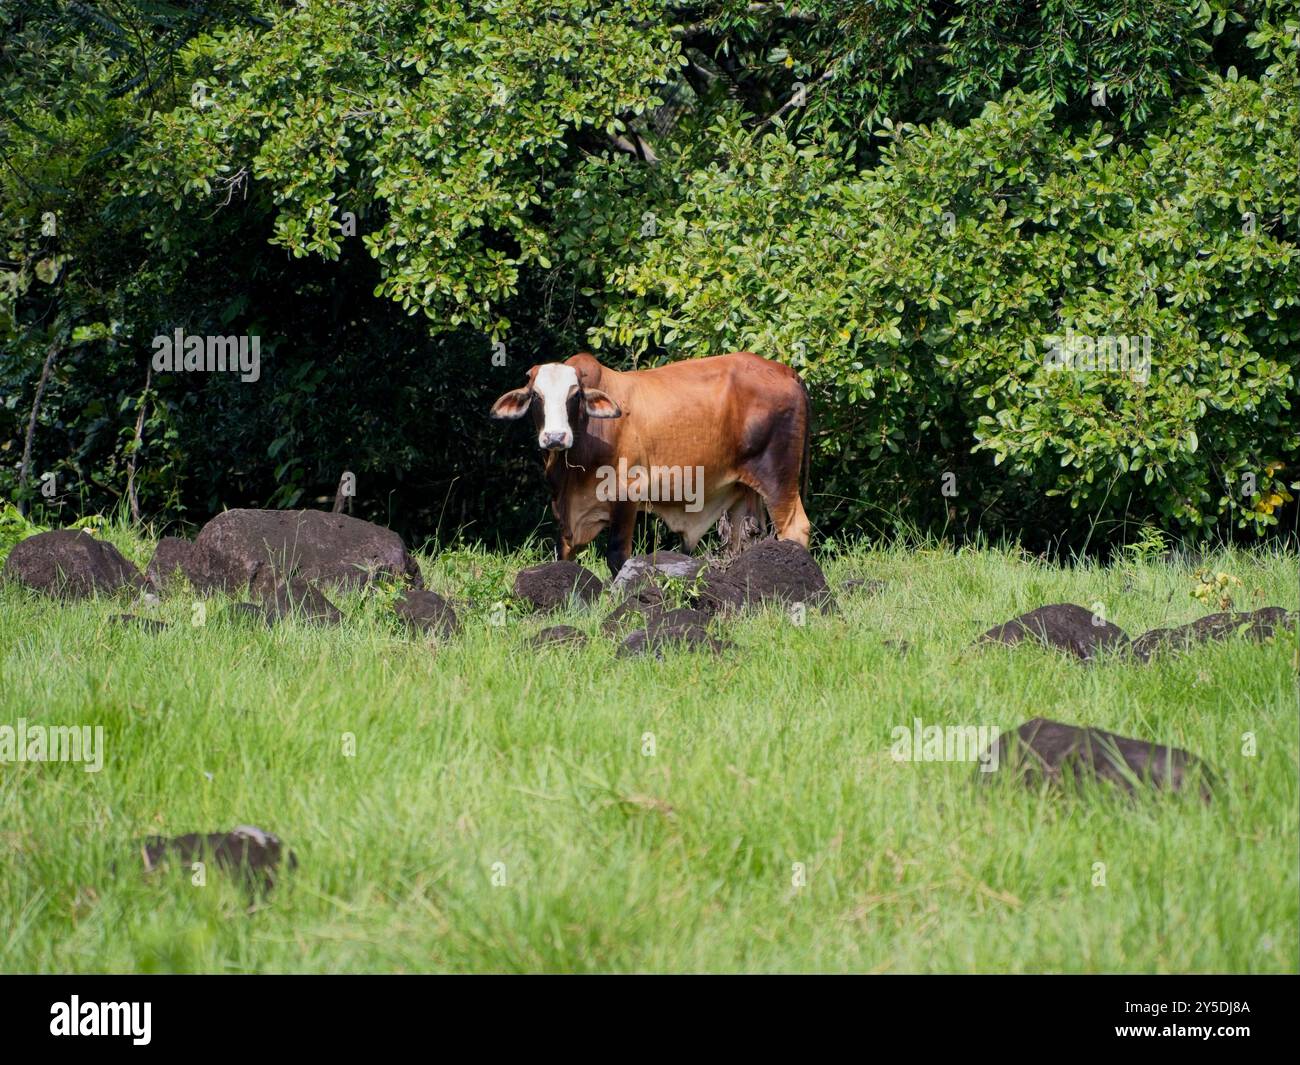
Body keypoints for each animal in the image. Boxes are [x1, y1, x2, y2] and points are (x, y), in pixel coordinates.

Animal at [489, 351, 811, 576]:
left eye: (575, 394)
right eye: (536, 396)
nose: (555, 437)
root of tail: (787, 371)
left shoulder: (626, 493)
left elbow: (617, 555)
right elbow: (564, 554)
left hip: (778, 478)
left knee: (795, 529)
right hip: (742, 493)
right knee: (741, 540)